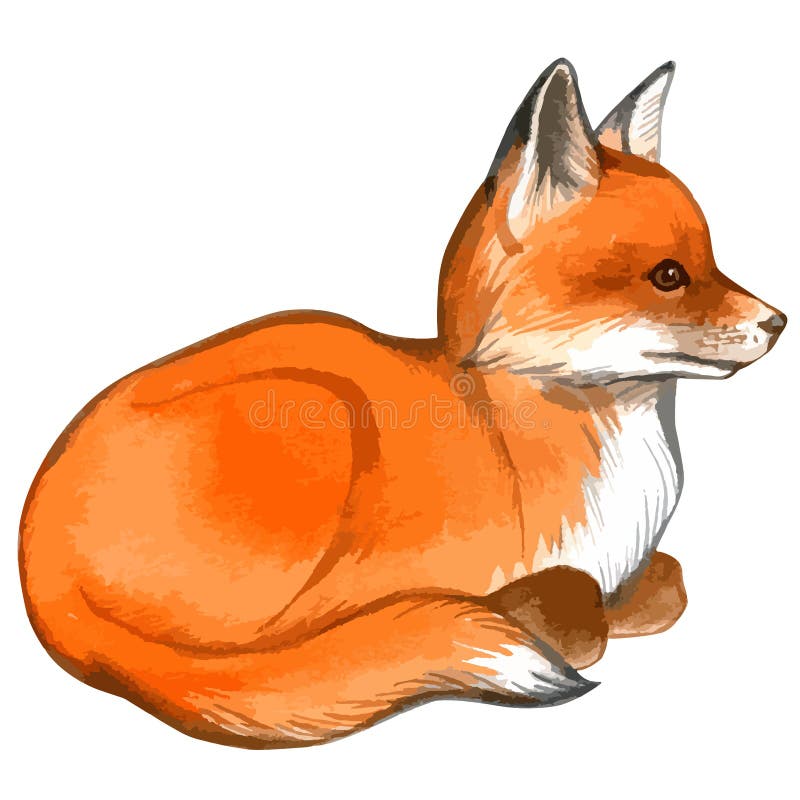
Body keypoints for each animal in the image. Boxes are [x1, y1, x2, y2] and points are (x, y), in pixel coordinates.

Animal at [20, 59, 786, 749]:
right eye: (668, 276)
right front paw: (548, 618)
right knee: (266, 665)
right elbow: (577, 611)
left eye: (712, 263)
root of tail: (35, 552)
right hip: (327, 427)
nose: (779, 321)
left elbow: (671, 584)